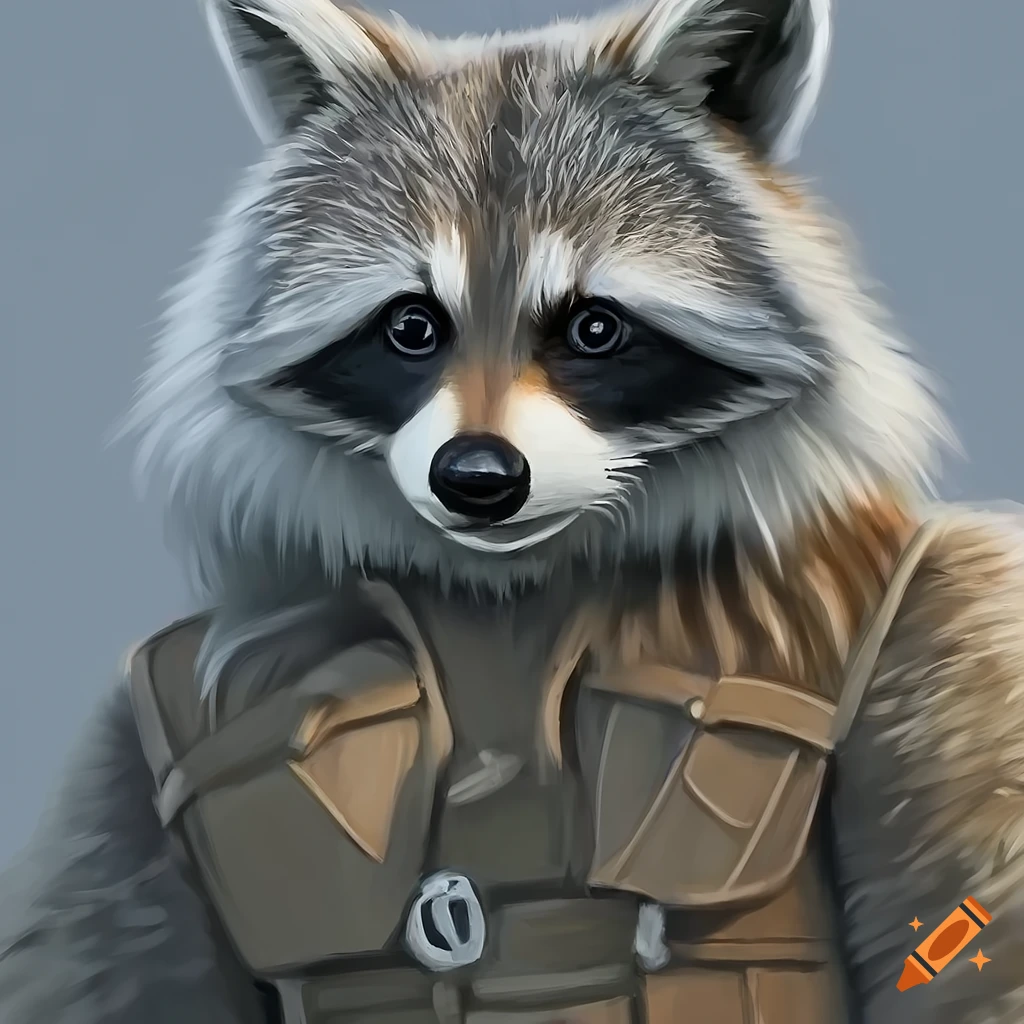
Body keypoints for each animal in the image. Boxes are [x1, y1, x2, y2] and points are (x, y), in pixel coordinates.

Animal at [2, 1, 1023, 1023]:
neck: (507, 593)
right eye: (411, 326)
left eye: (594, 327)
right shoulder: (136, 735)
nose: (478, 479)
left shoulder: (959, 620)